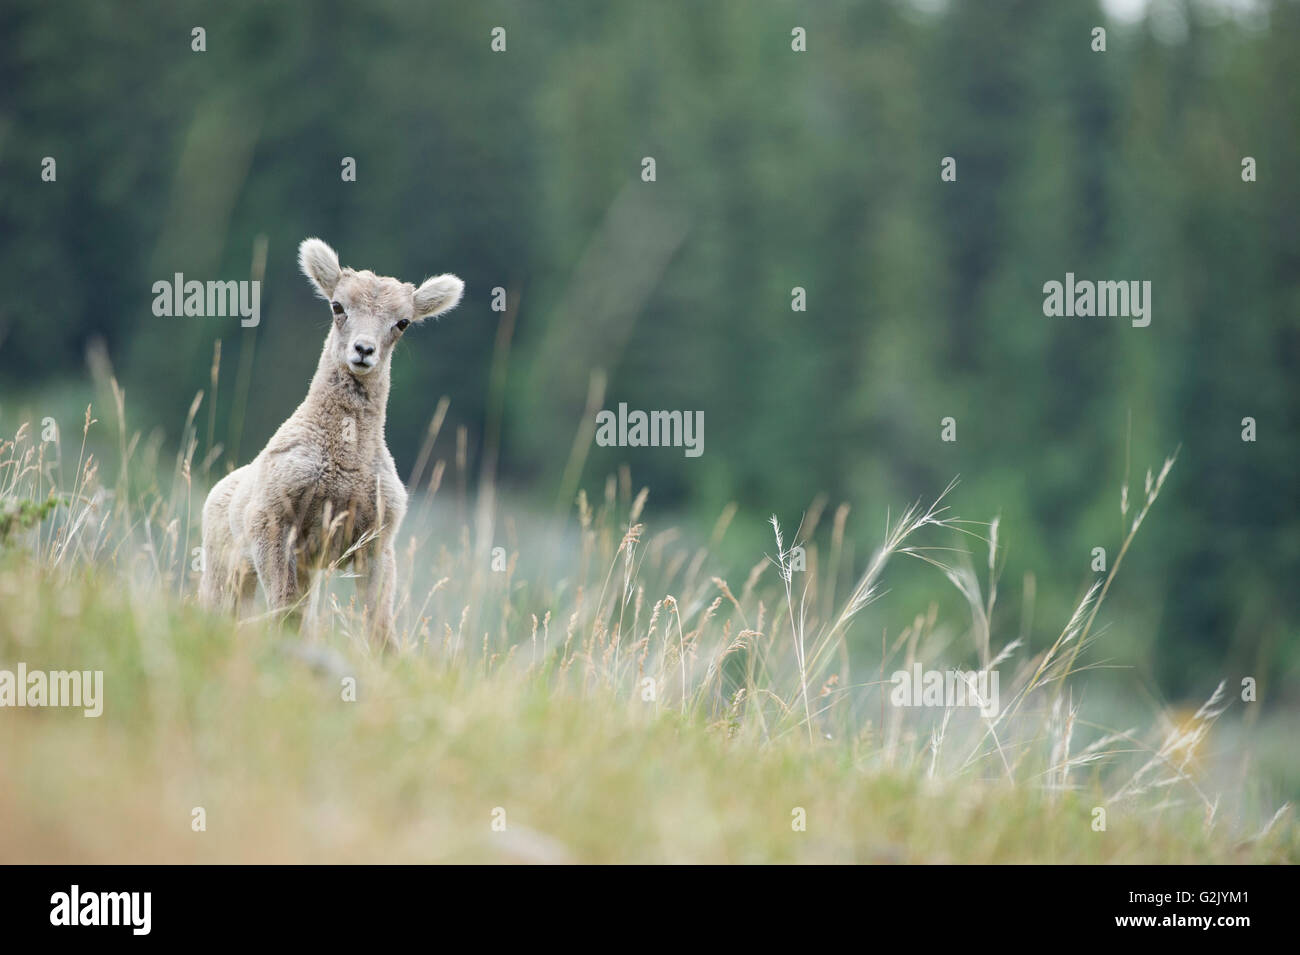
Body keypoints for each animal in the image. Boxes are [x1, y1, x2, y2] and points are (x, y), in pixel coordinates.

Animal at [198, 238, 465, 644]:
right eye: (337, 306)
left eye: (402, 323)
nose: (363, 350)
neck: (345, 465)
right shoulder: (272, 526)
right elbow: (285, 612)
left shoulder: (376, 544)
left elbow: (380, 631)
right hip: (227, 568)